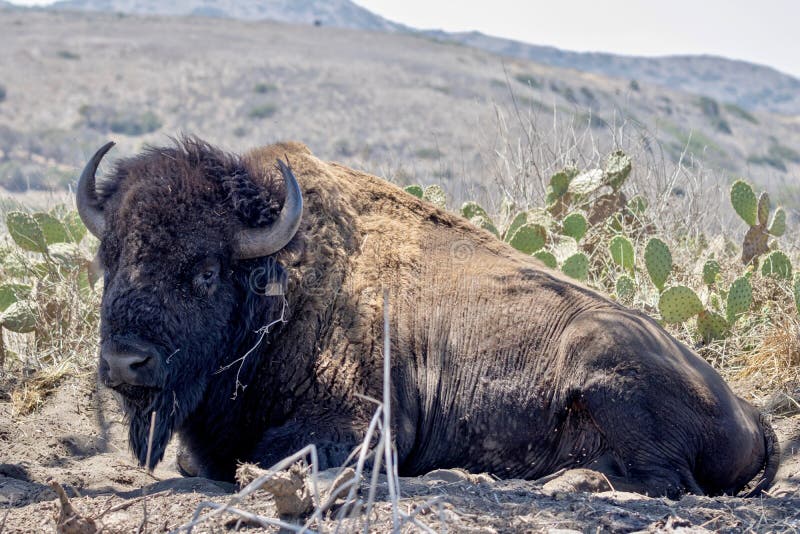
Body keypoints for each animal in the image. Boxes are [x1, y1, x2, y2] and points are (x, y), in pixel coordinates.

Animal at [77, 137, 778, 498]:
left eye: (205, 270)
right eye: (109, 258)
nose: (125, 362)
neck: (283, 278)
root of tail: (750, 407)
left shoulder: (361, 421)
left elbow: (279, 454)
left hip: (606, 366)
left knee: (664, 480)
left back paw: (561, 484)